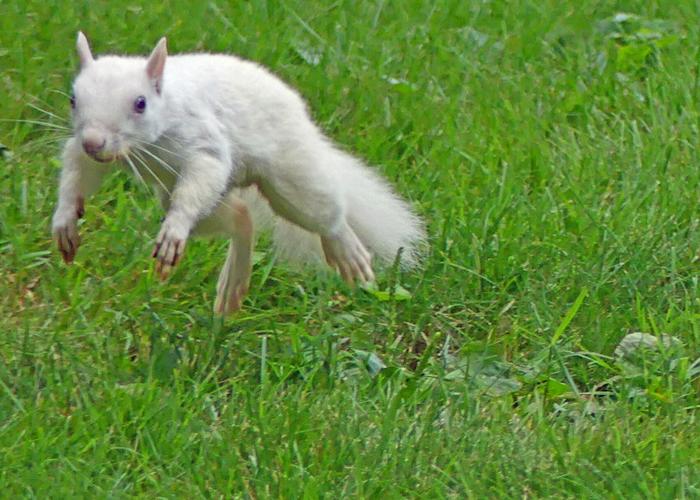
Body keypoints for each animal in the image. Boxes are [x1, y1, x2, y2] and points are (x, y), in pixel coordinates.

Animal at [52, 33, 426, 315]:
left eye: (140, 103)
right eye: (73, 99)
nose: (94, 141)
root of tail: (305, 123)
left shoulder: (205, 144)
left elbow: (203, 174)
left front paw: (173, 231)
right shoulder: (88, 154)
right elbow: (78, 173)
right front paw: (65, 220)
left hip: (292, 179)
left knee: (324, 216)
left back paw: (347, 252)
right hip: (181, 197)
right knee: (242, 218)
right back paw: (234, 281)